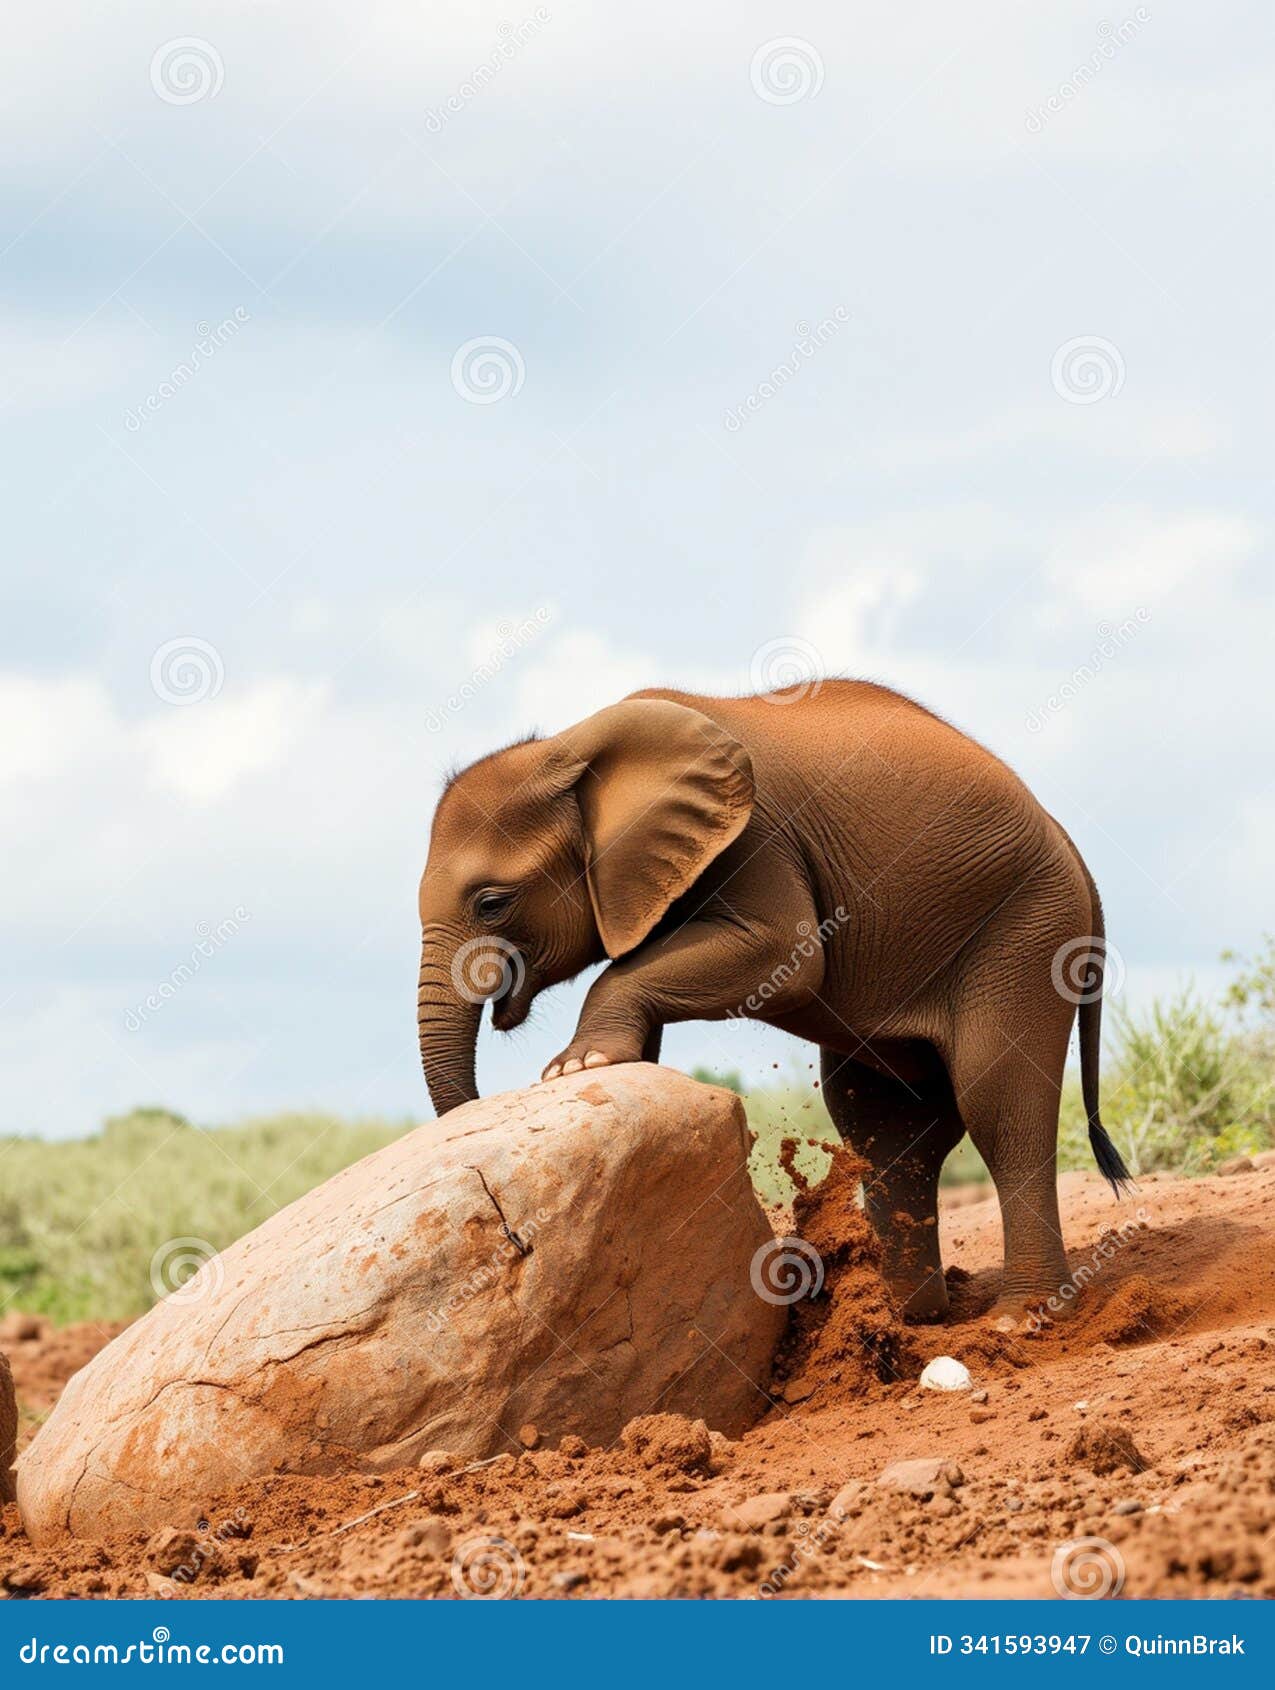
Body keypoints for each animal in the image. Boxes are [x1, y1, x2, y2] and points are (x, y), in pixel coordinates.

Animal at [417, 681, 1130, 1323]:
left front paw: (573, 1069)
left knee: (997, 1100)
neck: (572, 747)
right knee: (889, 1126)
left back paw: (1020, 1319)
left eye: (492, 903)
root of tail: (1076, 855)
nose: (515, 1242)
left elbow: (786, 958)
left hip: (1029, 925)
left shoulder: (756, 835)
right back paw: (908, 1321)